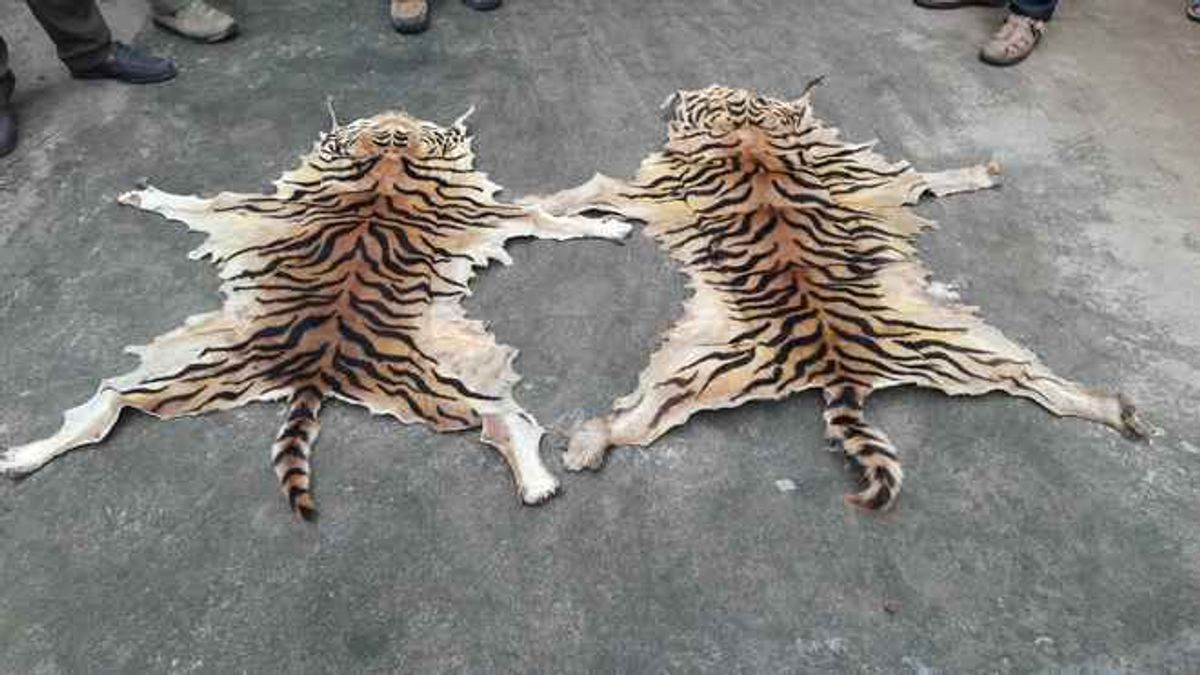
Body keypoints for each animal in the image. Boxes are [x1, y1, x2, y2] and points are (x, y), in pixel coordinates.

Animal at [0, 107, 630, 520]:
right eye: (382, 122)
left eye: (404, 126)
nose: (394, 109)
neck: (387, 160)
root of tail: (316, 370)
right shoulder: (491, 212)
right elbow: (549, 218)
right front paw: (604, 224)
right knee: (507, 418)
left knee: (114, 396)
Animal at [530, 84, 1146, 511]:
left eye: (701, 97)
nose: (672, 96)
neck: (748, 133)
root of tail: (840, 367)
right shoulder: (880, 180)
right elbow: (923, 177)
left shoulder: (648, 189)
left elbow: (593, 189)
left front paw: (545, 203)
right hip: (959, 347)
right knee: (1030, 377)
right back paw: (1114, 409)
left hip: (703, 366)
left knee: (634, 424)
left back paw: (586, 441)